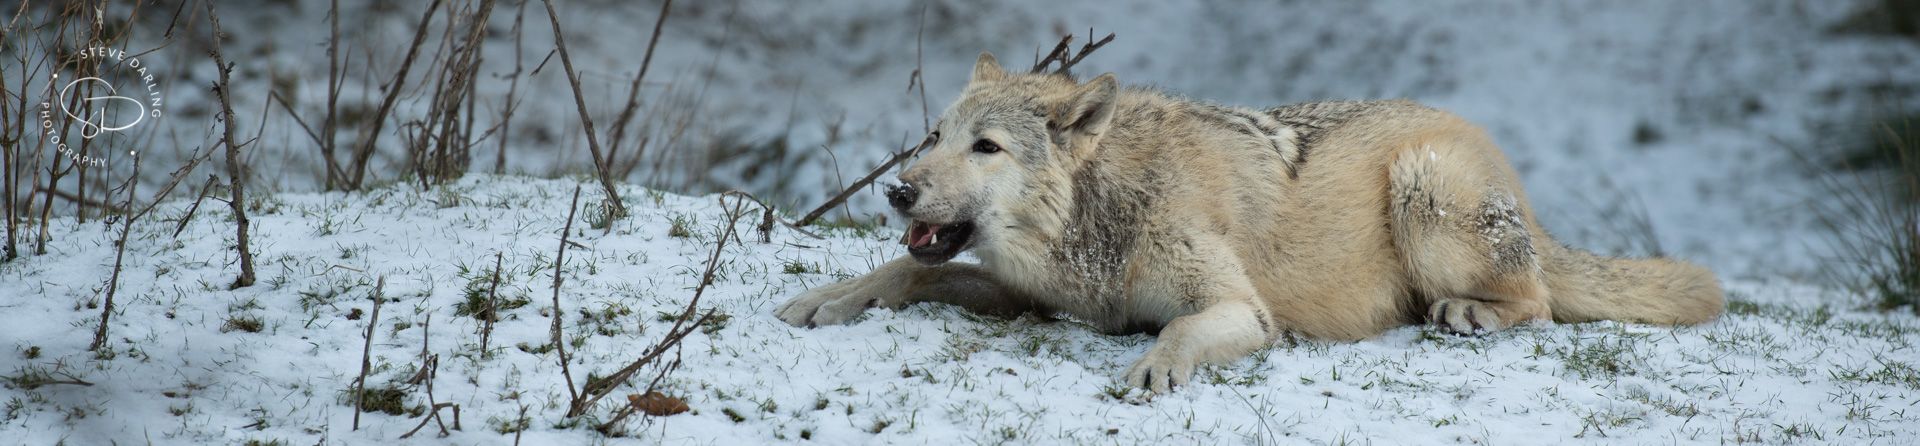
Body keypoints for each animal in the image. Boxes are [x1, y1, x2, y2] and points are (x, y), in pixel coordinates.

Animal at [775, 53, 1724, 392]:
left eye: (987, 146)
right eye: (933, 138)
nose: (899, 192)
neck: (1101, 216)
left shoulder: (1236, 306)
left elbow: (1181, 331)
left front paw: (1157, 368)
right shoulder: (1042, 300)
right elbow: (912, 270)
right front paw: (828, 300)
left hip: (1425, 192)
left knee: (1537, 303)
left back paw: (1465, 313)